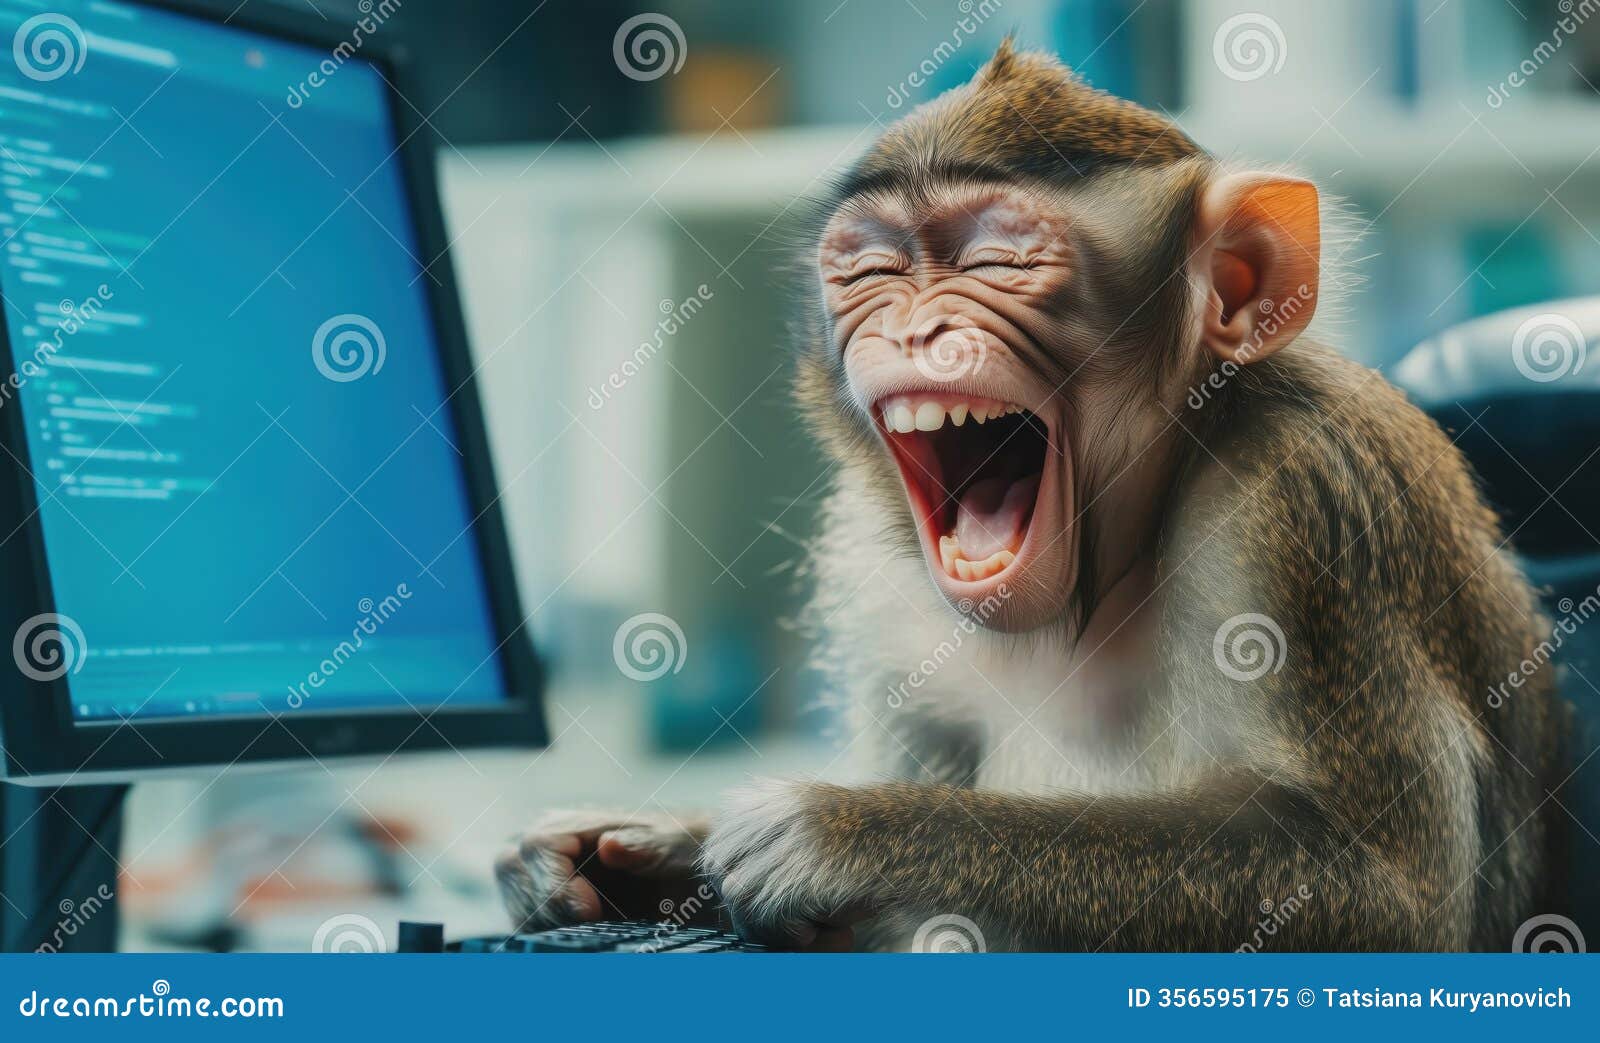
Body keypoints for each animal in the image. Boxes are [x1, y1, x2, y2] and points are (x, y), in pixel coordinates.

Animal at [495, 40, 1573, 952]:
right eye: (869, 270)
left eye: (998, 258)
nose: (915, 329)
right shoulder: (868, 565)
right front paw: (625, 851)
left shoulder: (1305, 500)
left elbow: (1389, 893)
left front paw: (843, 826)